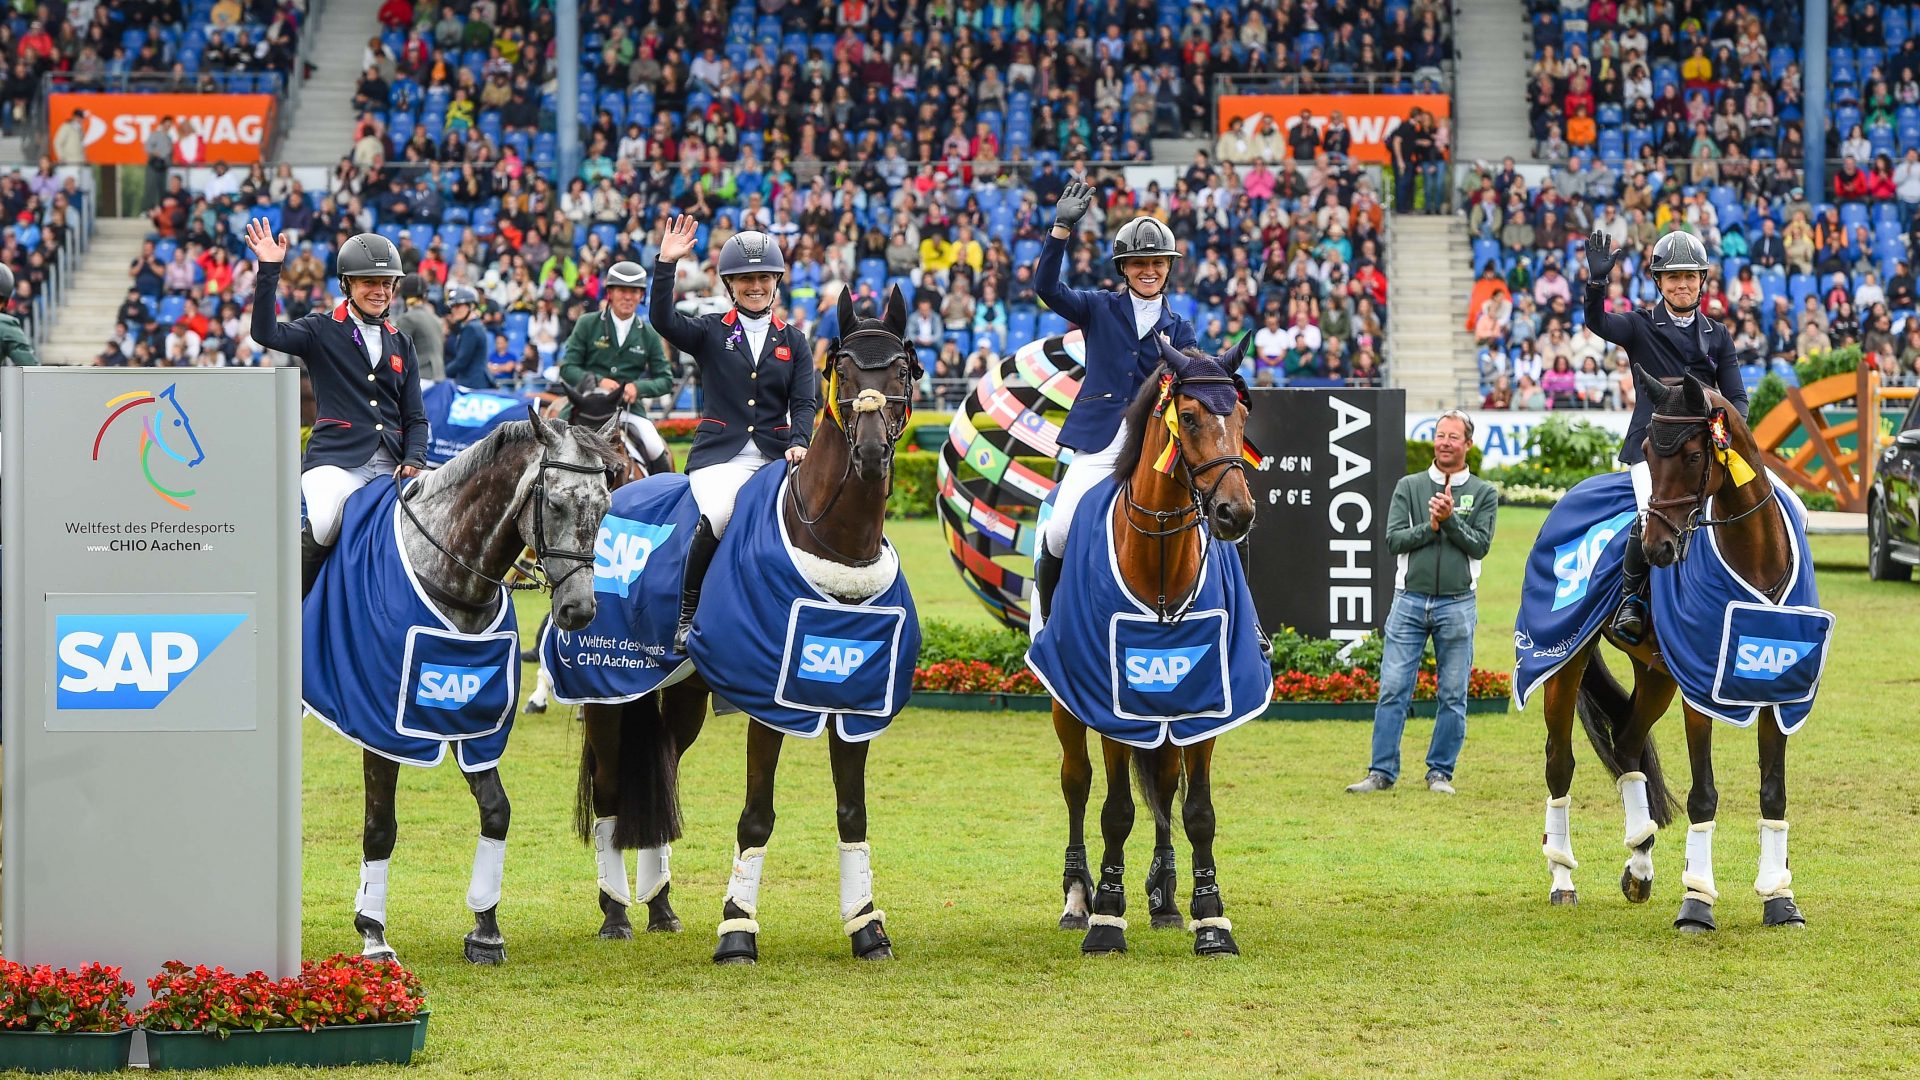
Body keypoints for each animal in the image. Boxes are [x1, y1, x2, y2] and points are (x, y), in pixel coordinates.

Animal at [322, 410, 617, 965]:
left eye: (605, 506)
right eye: (556, 502)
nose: (579, 609)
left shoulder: (473, 717)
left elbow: (496, 811)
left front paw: (485, 930)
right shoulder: (382, 724)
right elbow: (380, 827)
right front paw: (373, 934)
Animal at [572, 285, 921, 960]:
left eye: (898, 369)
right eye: (845, 371)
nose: (869, 454)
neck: (838, 547)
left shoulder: (857, 701)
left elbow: (852, 813)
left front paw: (867, 927)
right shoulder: (767, 701)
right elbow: (757, 814)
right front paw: (737, 930)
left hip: (681, 694)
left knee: (663, 771)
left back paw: (660, 906)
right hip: (603, 687)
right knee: (611, 791)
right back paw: (615, 912)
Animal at [1042, 338, 1262, 958]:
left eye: (1241, 416)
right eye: (1187, 416)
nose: (1235, 513)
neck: (1161, 561)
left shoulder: (1207, 701)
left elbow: (1198, 811)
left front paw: (1211, 919)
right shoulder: (1110, 703)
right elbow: (1115, 810)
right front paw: (1106, 918)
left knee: (1163, 788)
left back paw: (1165, 898)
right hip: (1065, 704)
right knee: (1076, 783)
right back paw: (1078, 898)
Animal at [1530, 371, 1810, 932]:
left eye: (1694, 454)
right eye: (1645, 451)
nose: (1656, 547)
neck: (1754, 558)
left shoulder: (1779, 684)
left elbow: (1774, 791)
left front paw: (1780, 898)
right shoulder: (1699, 692)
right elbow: (1703, 796)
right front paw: (1697, 903)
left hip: (1656, 673)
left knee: (1626, 744)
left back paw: (1639, 862)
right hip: (1565, 660)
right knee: (1560, 763)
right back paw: (1563, 879)